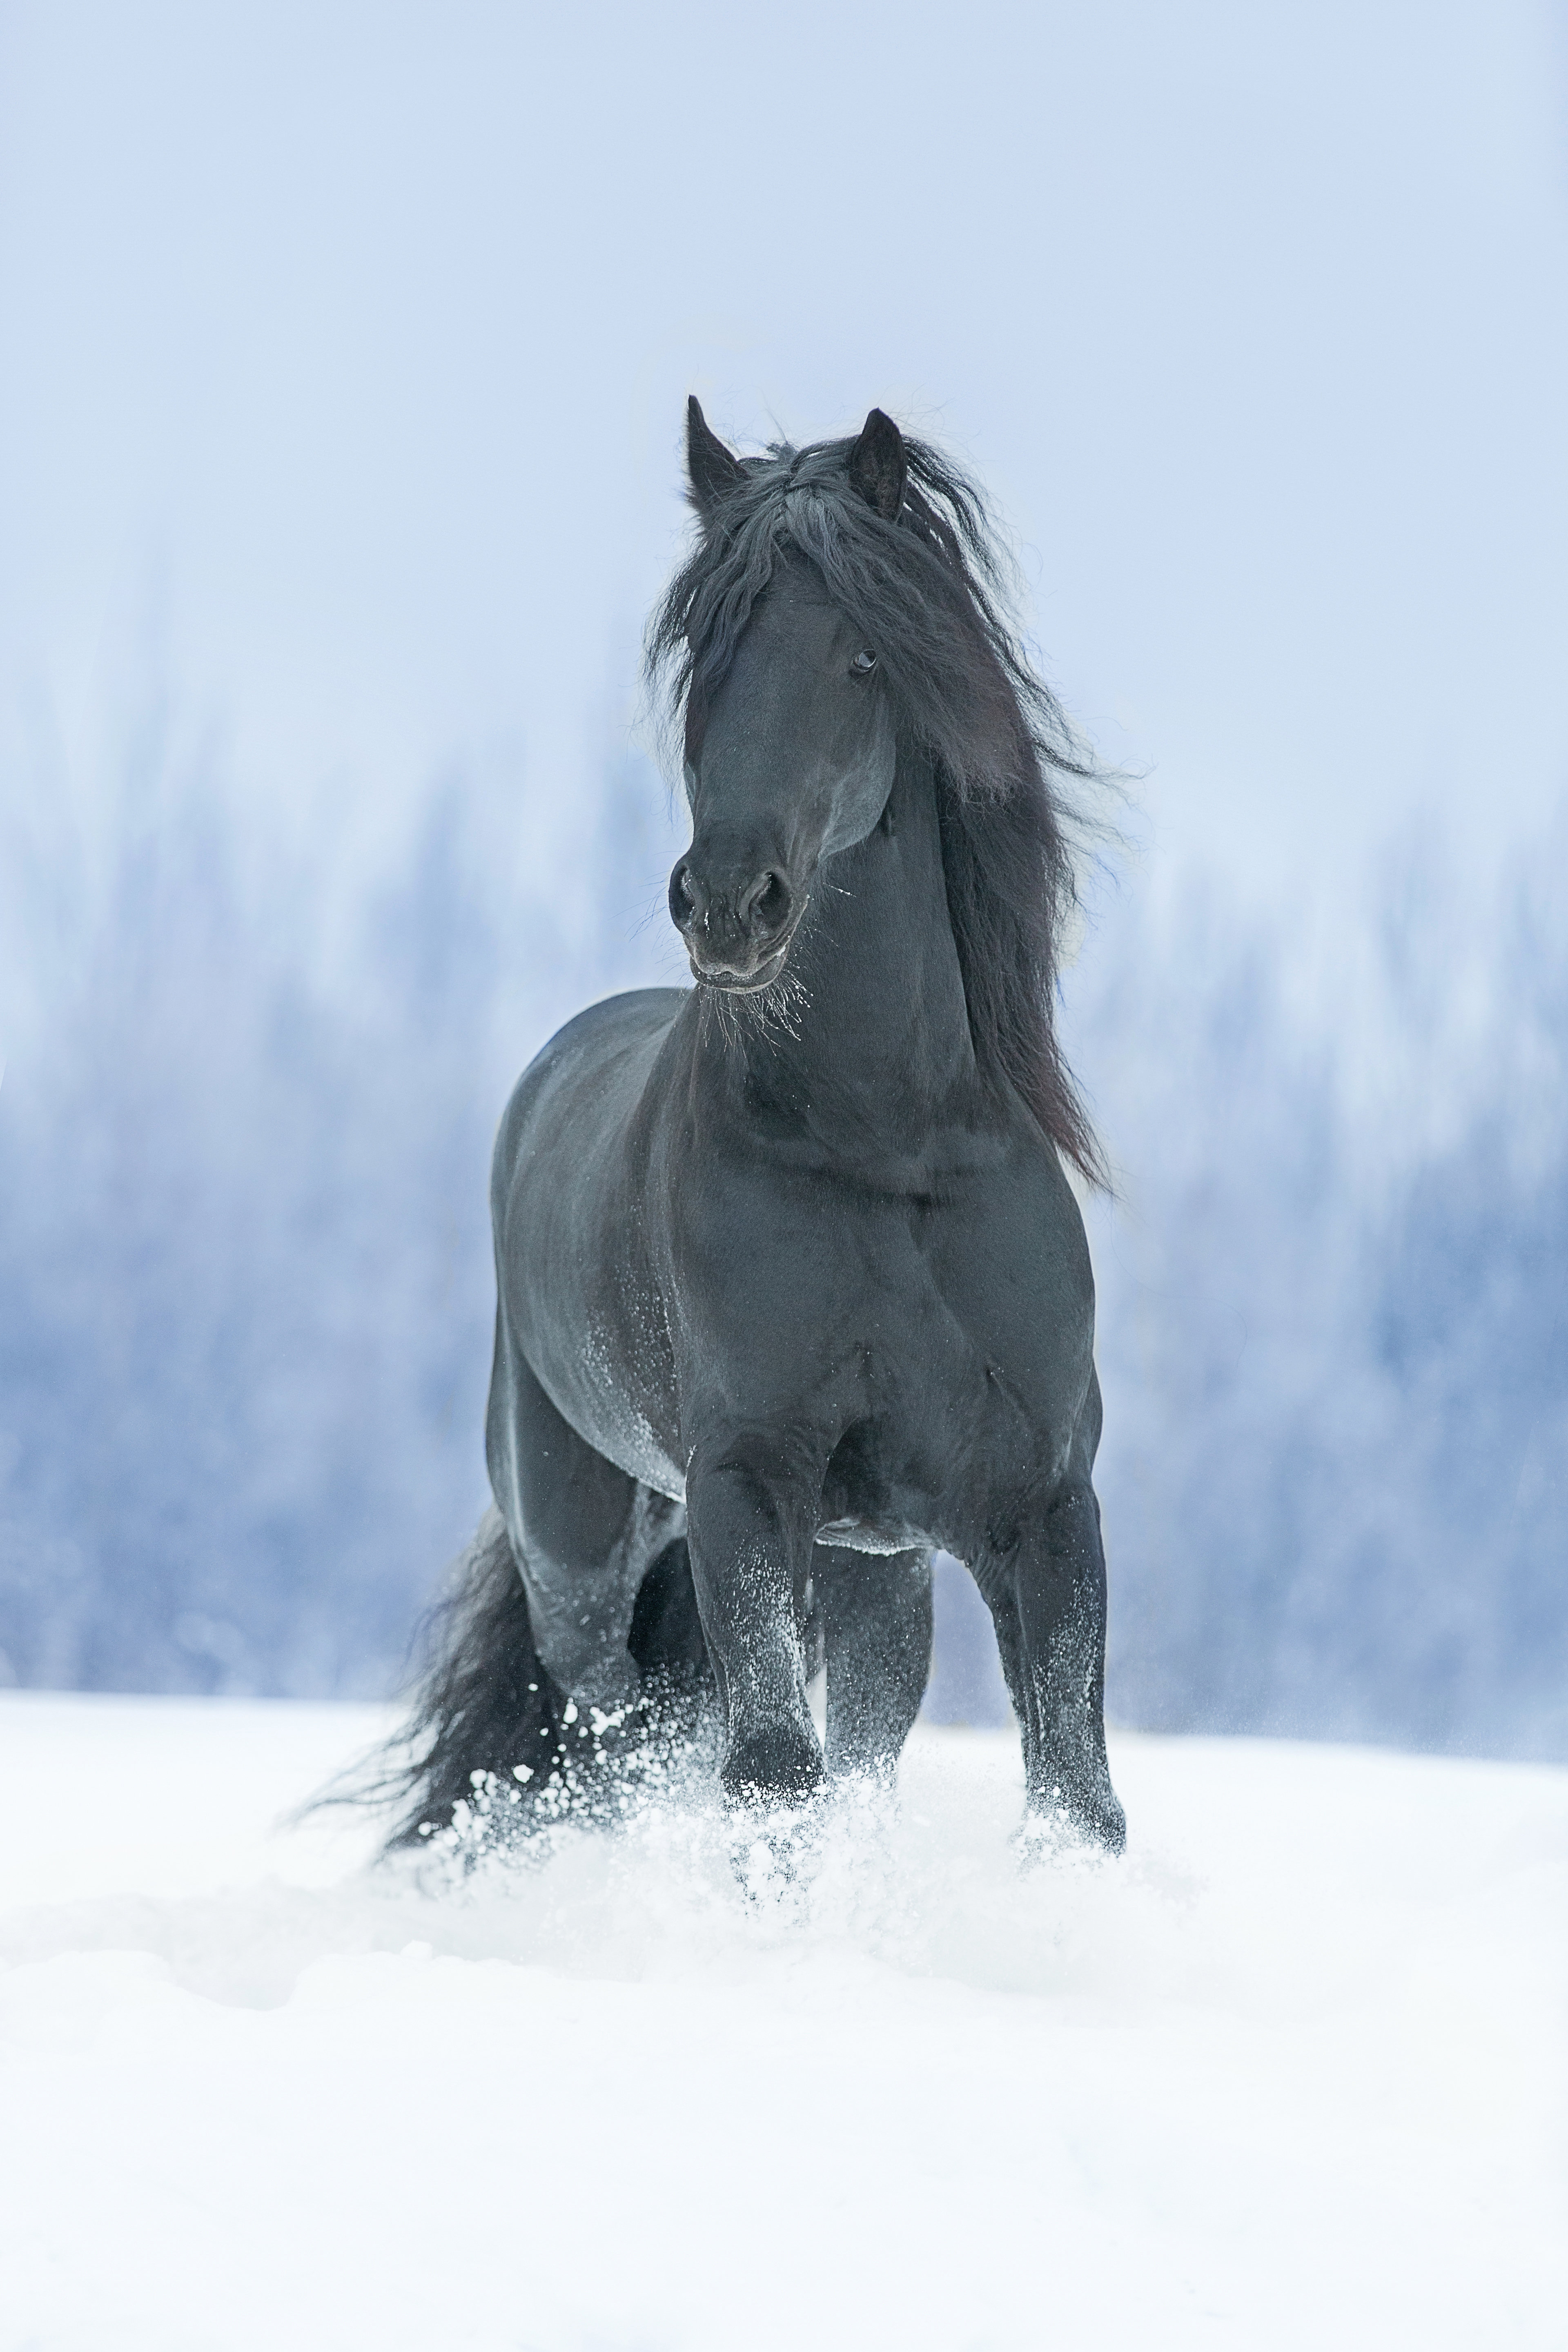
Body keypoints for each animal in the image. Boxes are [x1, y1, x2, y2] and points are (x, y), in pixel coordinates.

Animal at [385, 399, 1126, 1856]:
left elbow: (1075, 1793)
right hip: (585, 1568)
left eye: (863, 653)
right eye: (702, 658)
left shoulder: (1040, 1506)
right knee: (618, 1756)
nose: (728, 903)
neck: (892, 1153)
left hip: (875, 1575)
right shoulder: (747, 1489)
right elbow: (769, 1776)